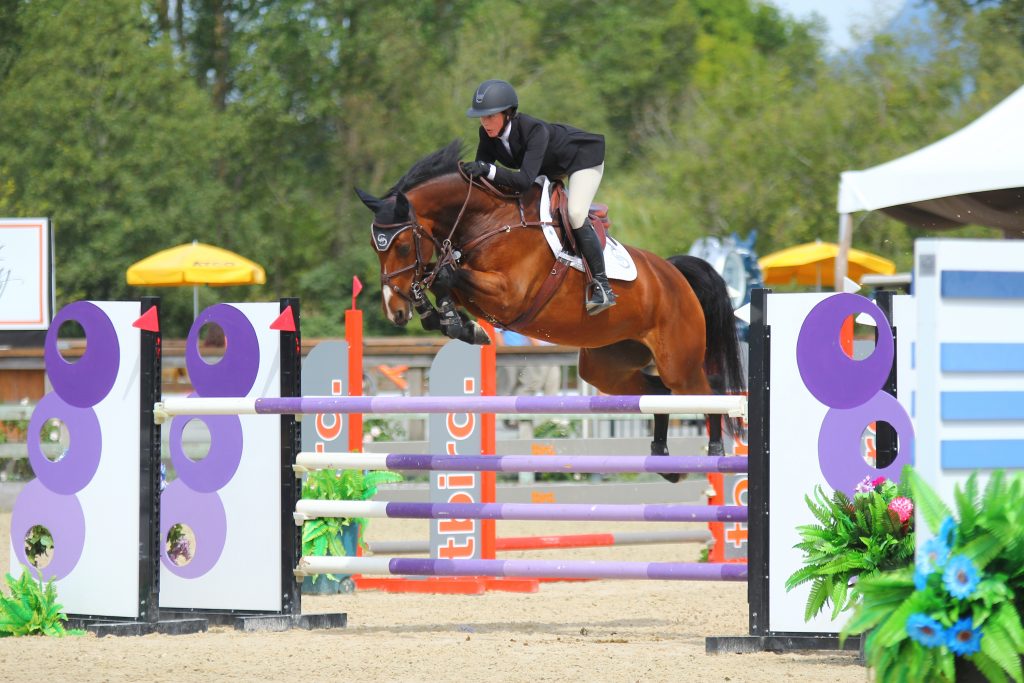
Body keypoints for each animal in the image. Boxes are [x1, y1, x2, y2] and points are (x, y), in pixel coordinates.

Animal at [356, 140, 745, 476]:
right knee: (659, 394)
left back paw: (715, 453)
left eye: (402, 246)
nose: (394, 310)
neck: (489, 221)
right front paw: (454, 323)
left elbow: (445, 277)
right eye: (375, 248)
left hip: (678, 361)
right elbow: (443, 281)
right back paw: (664, 461)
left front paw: (452, 318)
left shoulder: (509, 295)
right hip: (608, 366)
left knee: (707, 391)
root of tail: (675, 274)